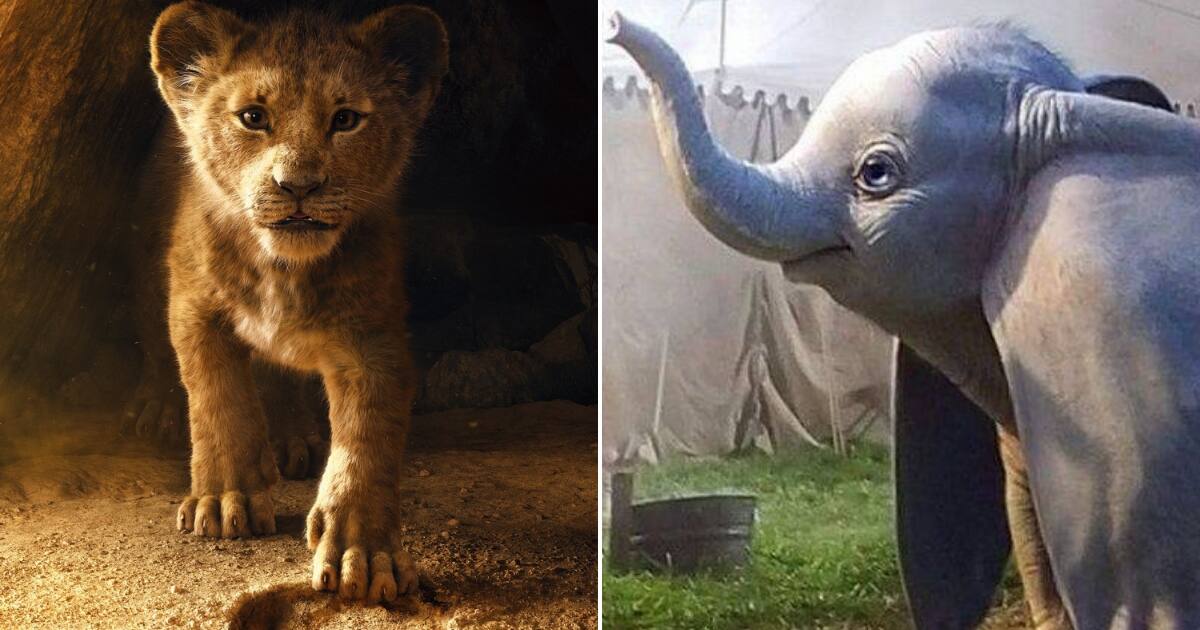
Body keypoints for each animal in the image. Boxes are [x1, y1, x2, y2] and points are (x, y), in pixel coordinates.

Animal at [145, 1, 449, 602]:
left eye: (346, 119)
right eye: (253, 117)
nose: (299, 186)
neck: (282, 269)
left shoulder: (373, 339)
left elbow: (366, 441)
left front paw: (364, 552)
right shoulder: (194, 307)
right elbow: (218, 401)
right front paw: (225, 499)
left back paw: (292, 439)